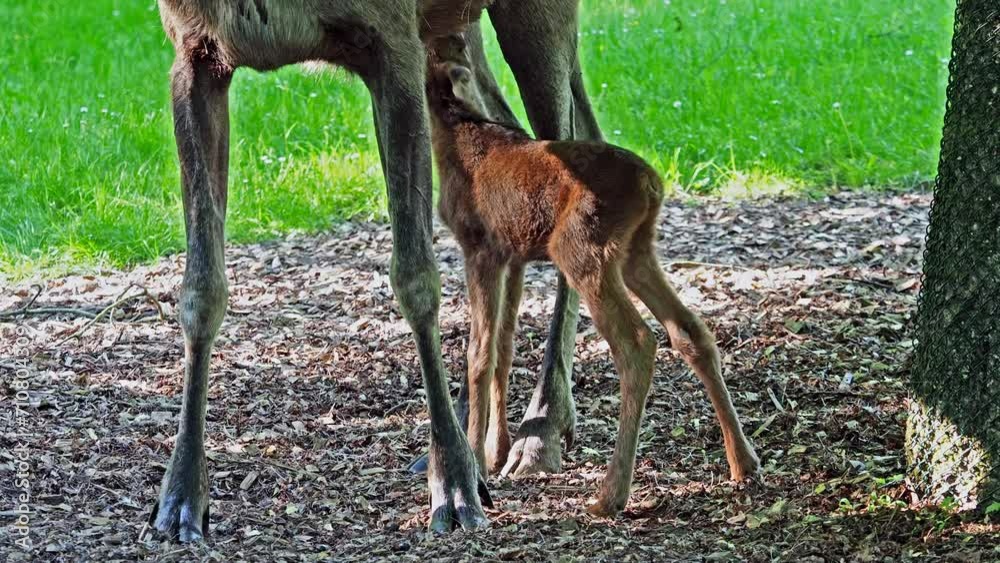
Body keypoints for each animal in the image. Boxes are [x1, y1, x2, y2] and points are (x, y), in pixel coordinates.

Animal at [151, 0, 601, 542]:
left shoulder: (393, 39)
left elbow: (415, 277)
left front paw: (453, 486)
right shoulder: (194, 51)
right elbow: (201, 290)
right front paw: (180, 498)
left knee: (570, 148)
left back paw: (542, 428)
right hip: (457, 30)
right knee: (532, 131)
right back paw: (483, 438)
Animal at [424, 39, 761, 516]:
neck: (457, 135)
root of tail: (652, 185)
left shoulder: (481, 246)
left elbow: (479, 353)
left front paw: (478, 465)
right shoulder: (512, 253)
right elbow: (505, 348)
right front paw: (495, 450)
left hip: (582, 245)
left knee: (637, 342)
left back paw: (610, 494)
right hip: (636, 249)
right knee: (689, 329)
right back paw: (743, 461)